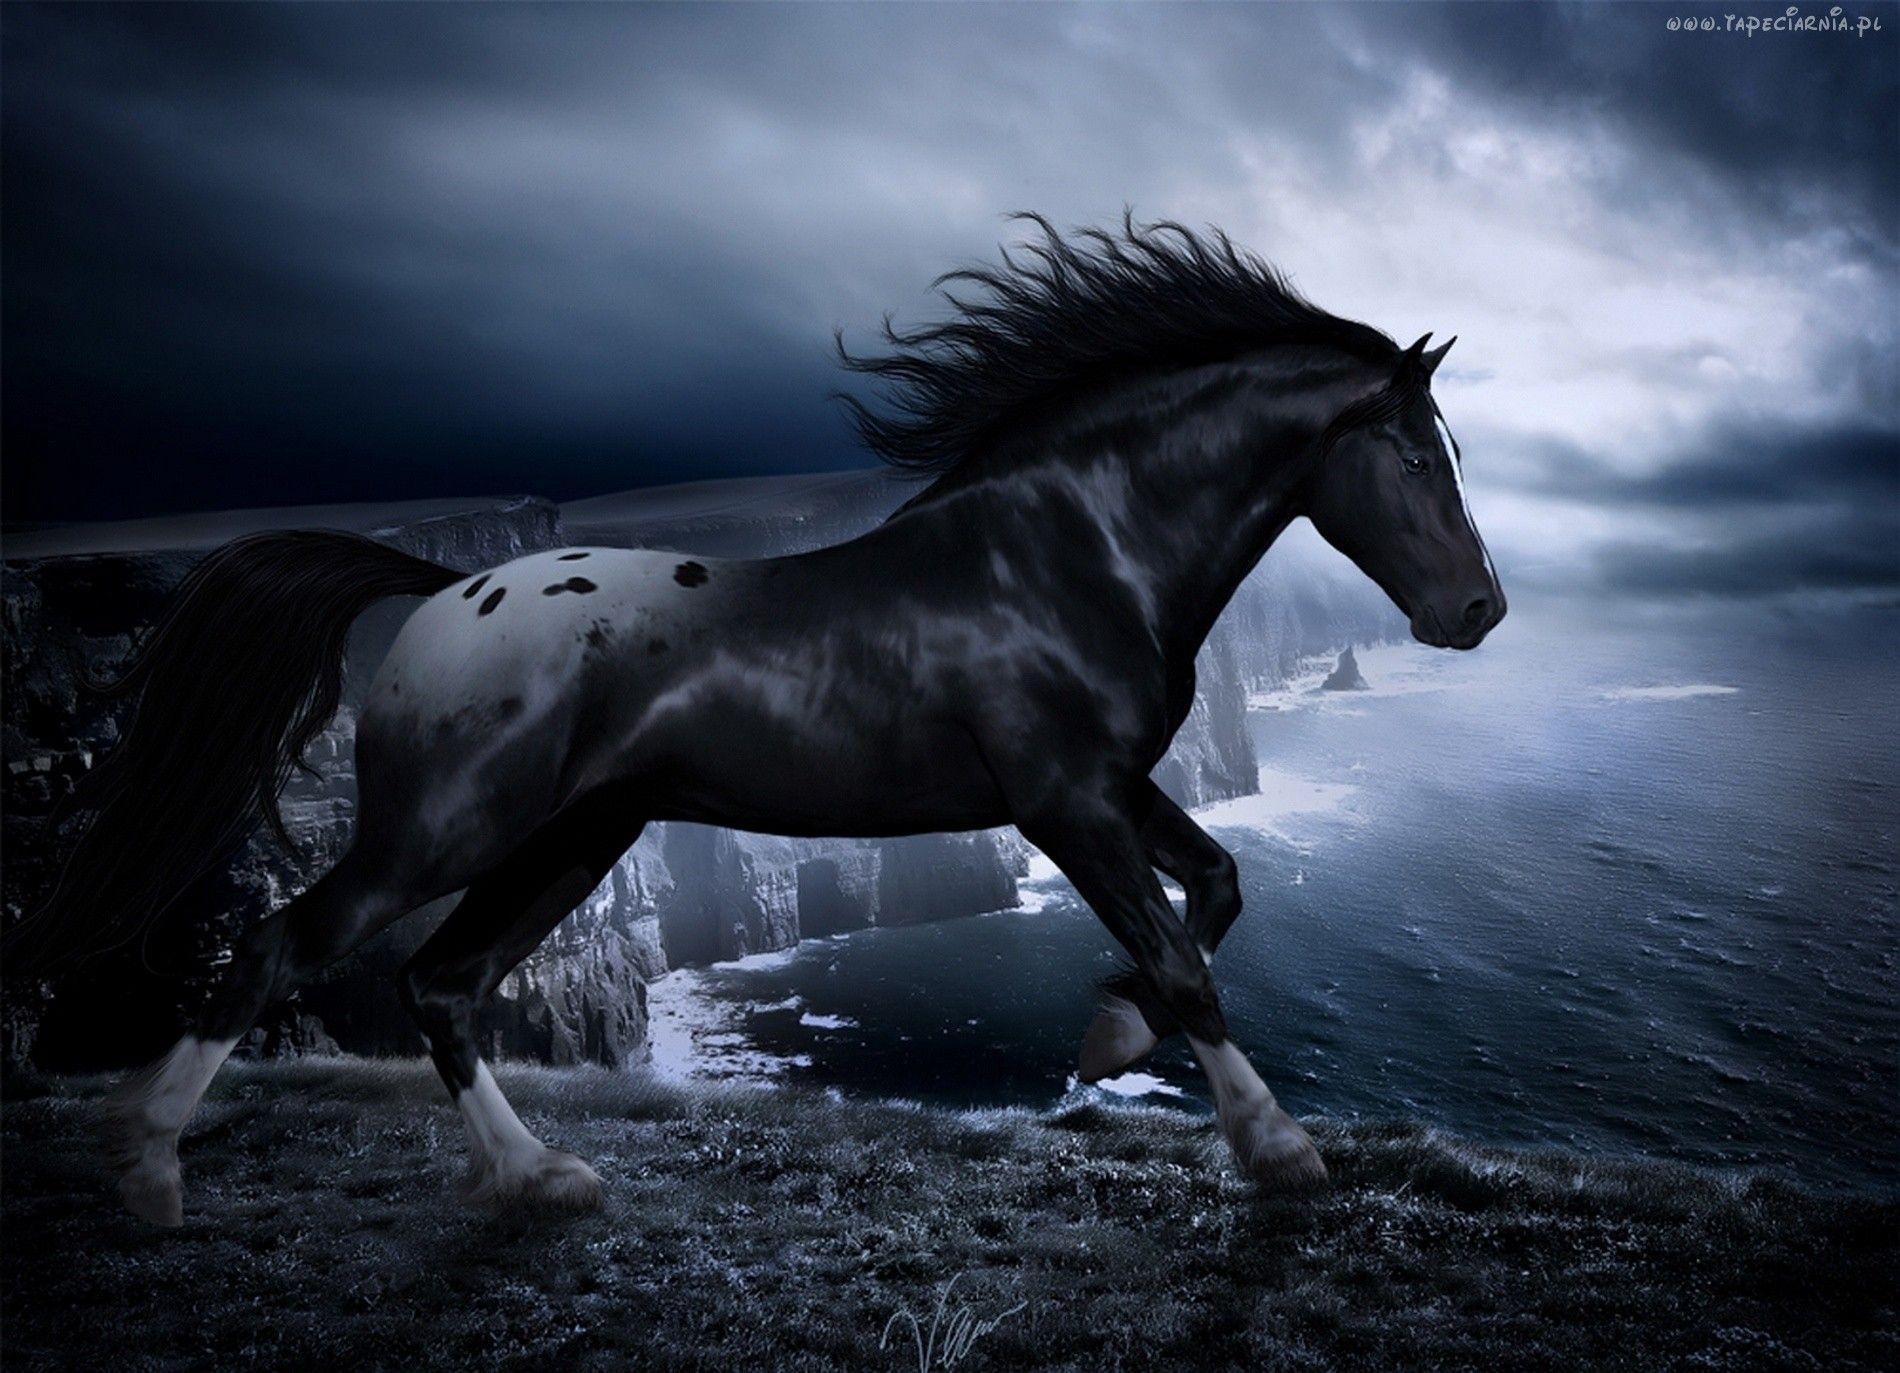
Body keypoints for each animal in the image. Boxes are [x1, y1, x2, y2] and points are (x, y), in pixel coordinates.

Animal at [12, 214, 1504, 1224]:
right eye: (1412, 452)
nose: (1479, 611)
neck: (1069, 551)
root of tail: (444, 588)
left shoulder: (1113, 783)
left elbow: (1224, 882)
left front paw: (1111, 1035)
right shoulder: (1063, 801)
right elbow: (1188, 958)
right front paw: (1277, 1147)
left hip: (574, 839)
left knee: (439, 983)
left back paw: (543, 1175)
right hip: (443, 830)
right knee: (282, 946)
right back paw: (145, 1167)